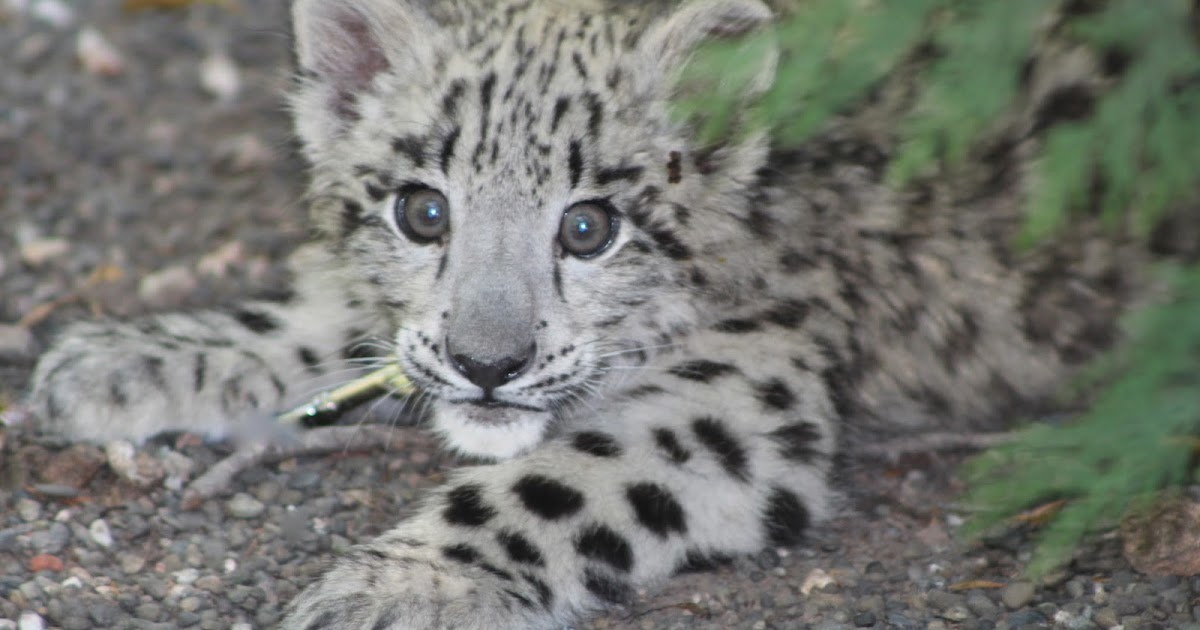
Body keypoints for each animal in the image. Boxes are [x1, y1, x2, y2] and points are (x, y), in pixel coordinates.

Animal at [26, 0, 1156, 628]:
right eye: (422, 209)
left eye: (589, 226)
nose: (487, 363)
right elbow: (343, 322)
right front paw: (120, 362)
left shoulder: (741, 395)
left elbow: (556, 484)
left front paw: (397, 588)